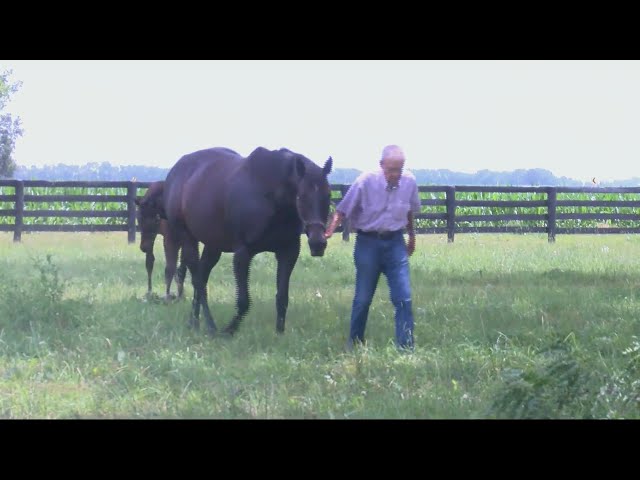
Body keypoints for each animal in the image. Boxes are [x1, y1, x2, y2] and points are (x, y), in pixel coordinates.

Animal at [163, 146, 333, 336]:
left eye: (328, 195)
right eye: (301, 196)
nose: (318, 244)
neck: (270, 195)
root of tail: (175, 171)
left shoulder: (288, 253)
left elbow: (282, 297)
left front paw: (279, 333)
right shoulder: (243, 253)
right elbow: (244, 300)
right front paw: (229, 331)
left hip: (213, 246)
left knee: (202, 276)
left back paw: (194, 322)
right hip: (188, 238)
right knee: (198, 280)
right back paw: (210, 326)